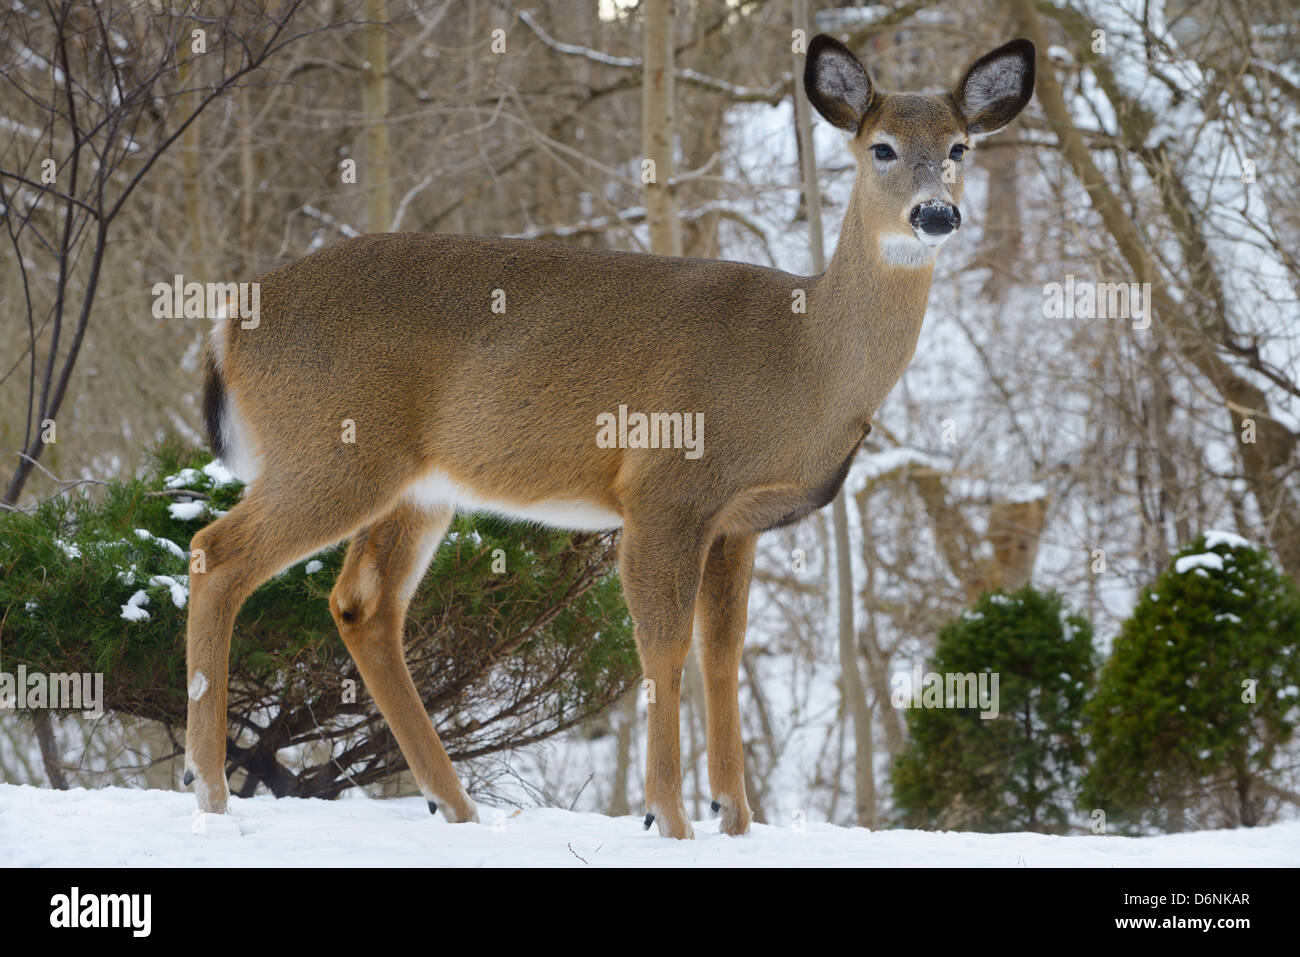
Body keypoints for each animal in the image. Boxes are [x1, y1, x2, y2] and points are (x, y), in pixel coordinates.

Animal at [185, 34, 1034, 839]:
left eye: (960, 147)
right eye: (881, 148)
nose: (936, 214)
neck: (801, 360)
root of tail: (230, 320)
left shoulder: (739, 520)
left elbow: (723, 650)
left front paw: (736, 815)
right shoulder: (666, 487)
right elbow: (663, 644)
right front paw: (669, 814)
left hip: (416, 485)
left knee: (363, 604)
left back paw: (453, 804)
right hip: (333, 447)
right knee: (215, 553)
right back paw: (211, 790)